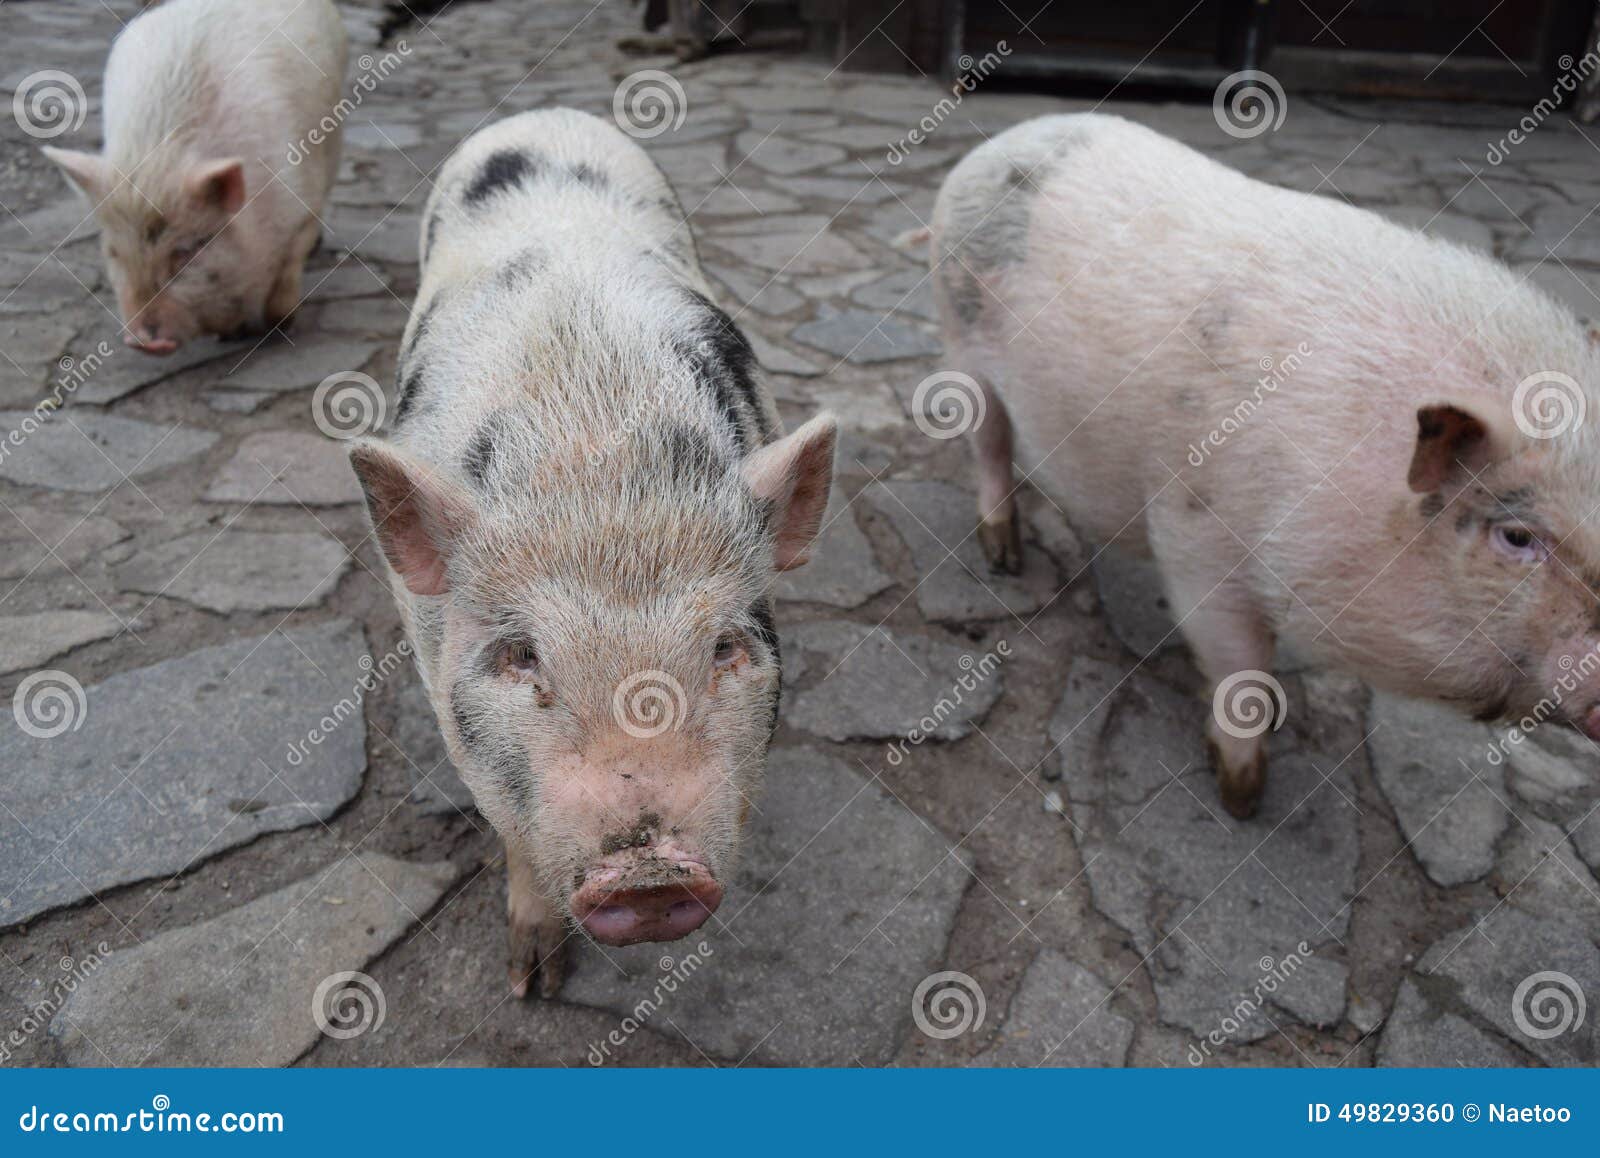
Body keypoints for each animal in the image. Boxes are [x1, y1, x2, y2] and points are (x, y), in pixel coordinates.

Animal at [42, 0, 346, 354]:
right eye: (114, 252)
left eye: (186, 252)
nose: (143, 341)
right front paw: (229, 335)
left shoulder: (302, 203)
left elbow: (288, 273)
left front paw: (280, 328)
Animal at [348, 108, 836, 997]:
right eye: (522, 655)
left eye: (724, 647)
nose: (649, 876)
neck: (599, 463)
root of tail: (541, 113)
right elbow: (512, 830)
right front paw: (531, 985)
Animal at [931, 113, 1600, 819]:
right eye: (1517, 537)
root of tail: (999, 142)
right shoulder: (1195, 528)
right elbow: (1236, 658)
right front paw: (1243, 798)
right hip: (961, 343)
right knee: (989, 447)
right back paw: (1004, 559)